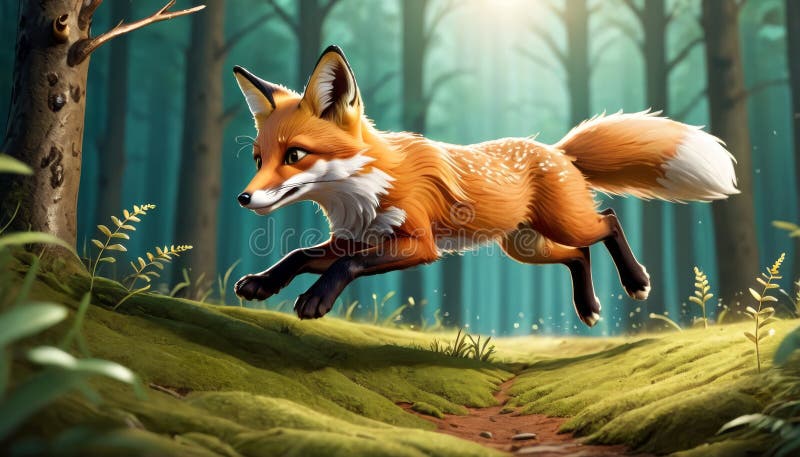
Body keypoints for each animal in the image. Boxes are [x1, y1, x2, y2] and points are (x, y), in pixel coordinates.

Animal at [231, 45, 738, 327]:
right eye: (259, 159)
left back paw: (635, 281)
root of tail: (557, 149)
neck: (366, 191)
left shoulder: (419, 244)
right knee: (579, 254)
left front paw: (317, 298)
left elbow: (347, 266)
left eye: (295, 156)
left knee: (608, 222)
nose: (243, 197)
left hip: (561, 226)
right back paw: (588, 306)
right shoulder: (355, 237)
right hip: (526, 247)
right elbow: (299, 255)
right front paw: (262, 283)